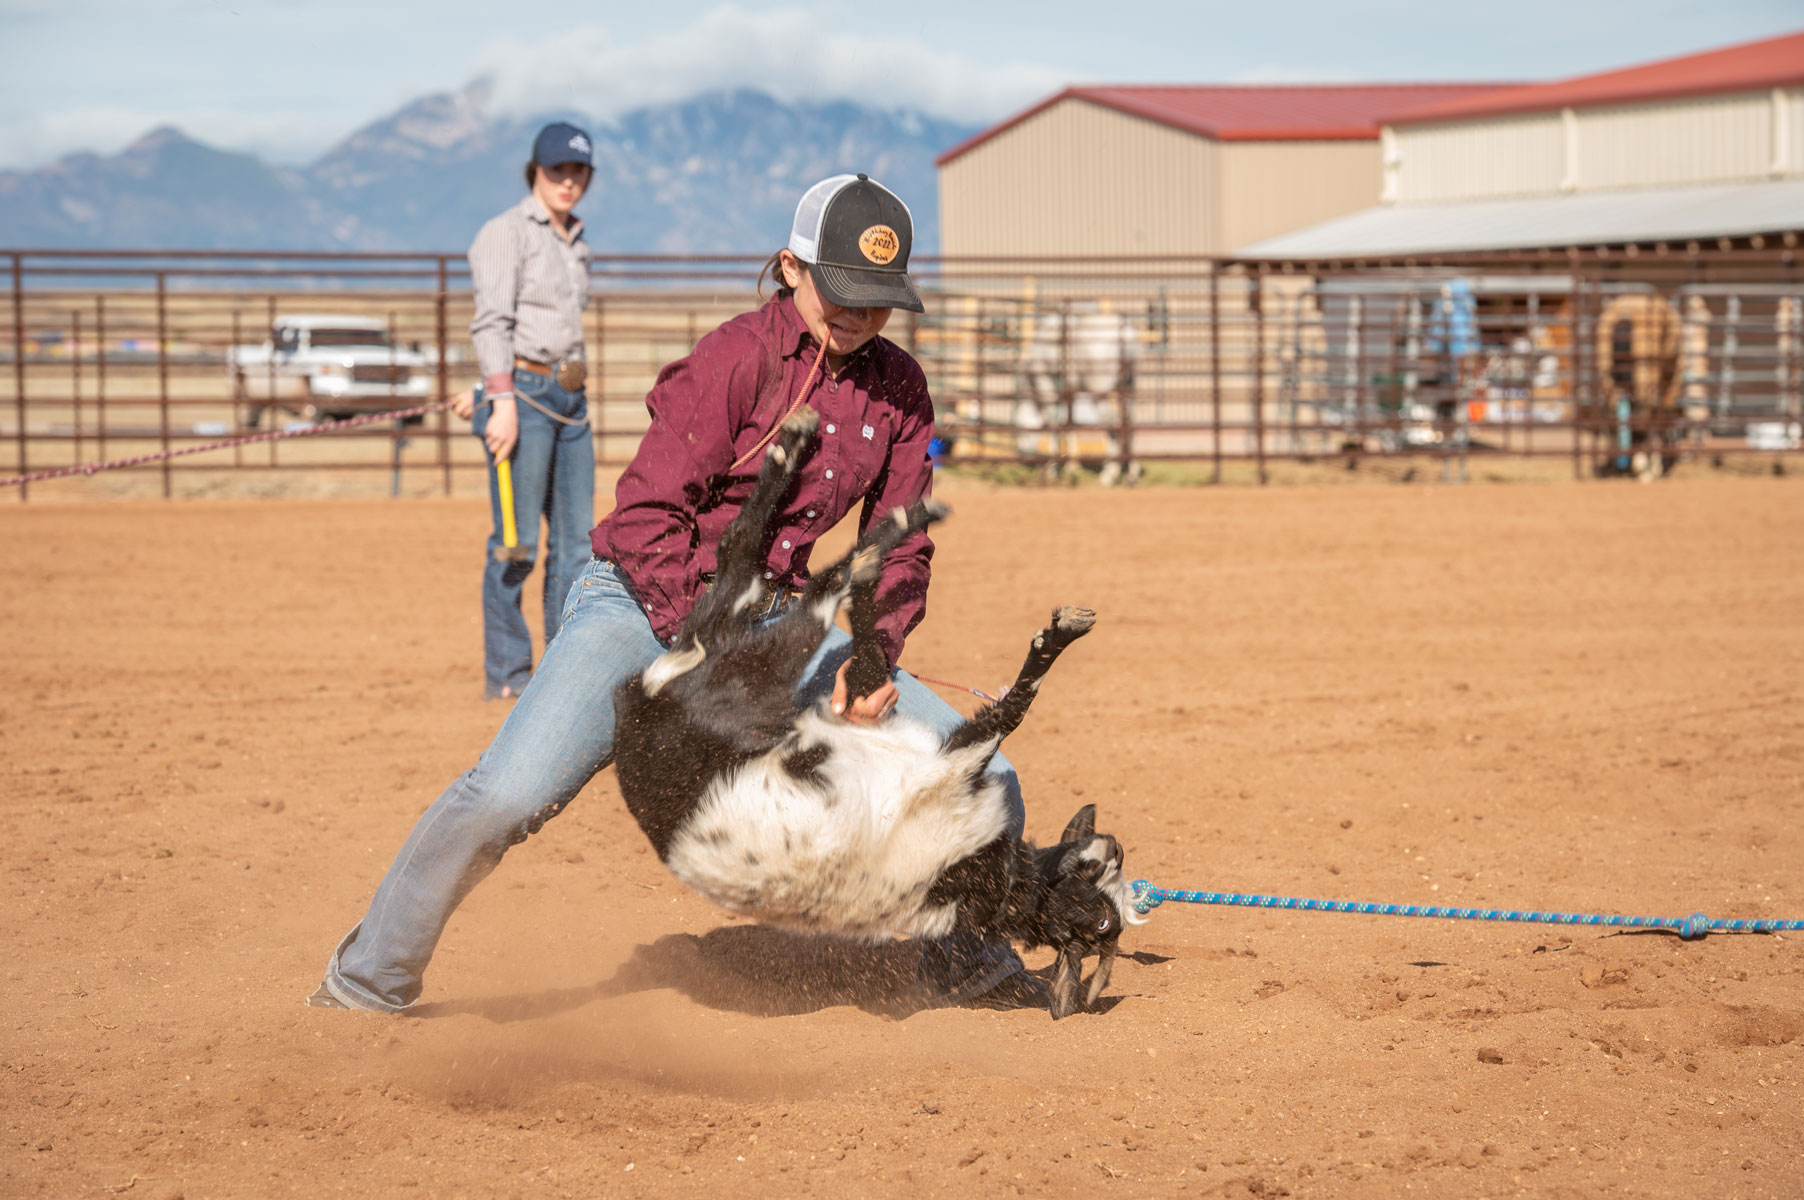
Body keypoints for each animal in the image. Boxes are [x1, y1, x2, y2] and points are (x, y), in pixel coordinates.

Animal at [611, 409, 1139, 1018]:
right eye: (1103, 886)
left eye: (1102, 924)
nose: (1112, 845)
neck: (982, 877)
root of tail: (641, 700)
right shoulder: (945, 766)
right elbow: (1012, 709)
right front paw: (1059, 633)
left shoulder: (944, 768)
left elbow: (1010, 710)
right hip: (755, 658)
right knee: (759, 564)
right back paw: (858, 493)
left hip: (754, 660)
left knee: (765, 569)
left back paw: (826, 480)